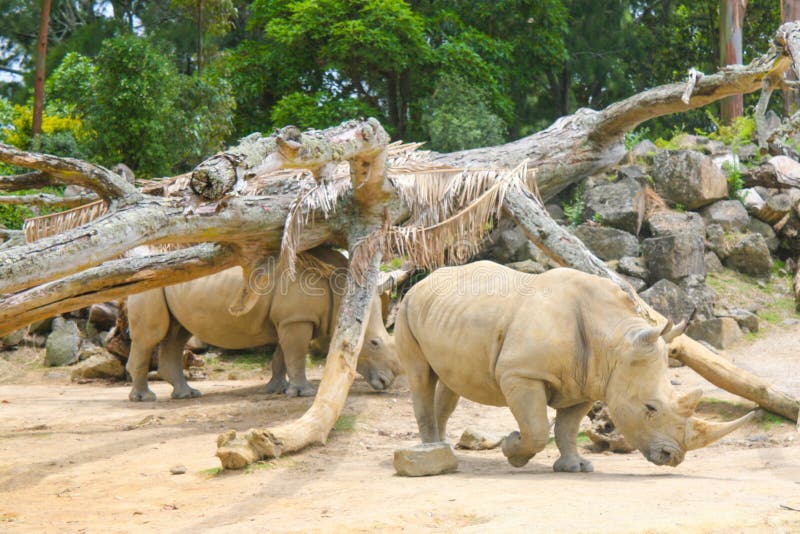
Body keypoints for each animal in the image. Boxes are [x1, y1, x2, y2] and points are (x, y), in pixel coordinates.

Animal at [126, 247, 399, 401]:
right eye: (373, 343)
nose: (387, 383)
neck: (341, 290)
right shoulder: (296, 318)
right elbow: (296, 355)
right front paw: (303, 393)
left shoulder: (287, 319)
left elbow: (282, 356)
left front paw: (277, 389)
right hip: (148, 284)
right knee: (150, 338)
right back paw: (145, 398)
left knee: (176, 334)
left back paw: (186, 395)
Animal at [395, 262, 754, 471]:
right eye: (650, 408)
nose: (673, 458)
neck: (614, 340)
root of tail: (424, 280)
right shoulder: (521, 373)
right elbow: (537, 428)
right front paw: (513, 451)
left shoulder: (588, 381)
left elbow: (566, 428)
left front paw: (576, 467)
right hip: (407, 307)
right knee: (420, 377)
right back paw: (432, 451)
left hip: (446, 311)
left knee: (449, 384)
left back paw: (441, 448)